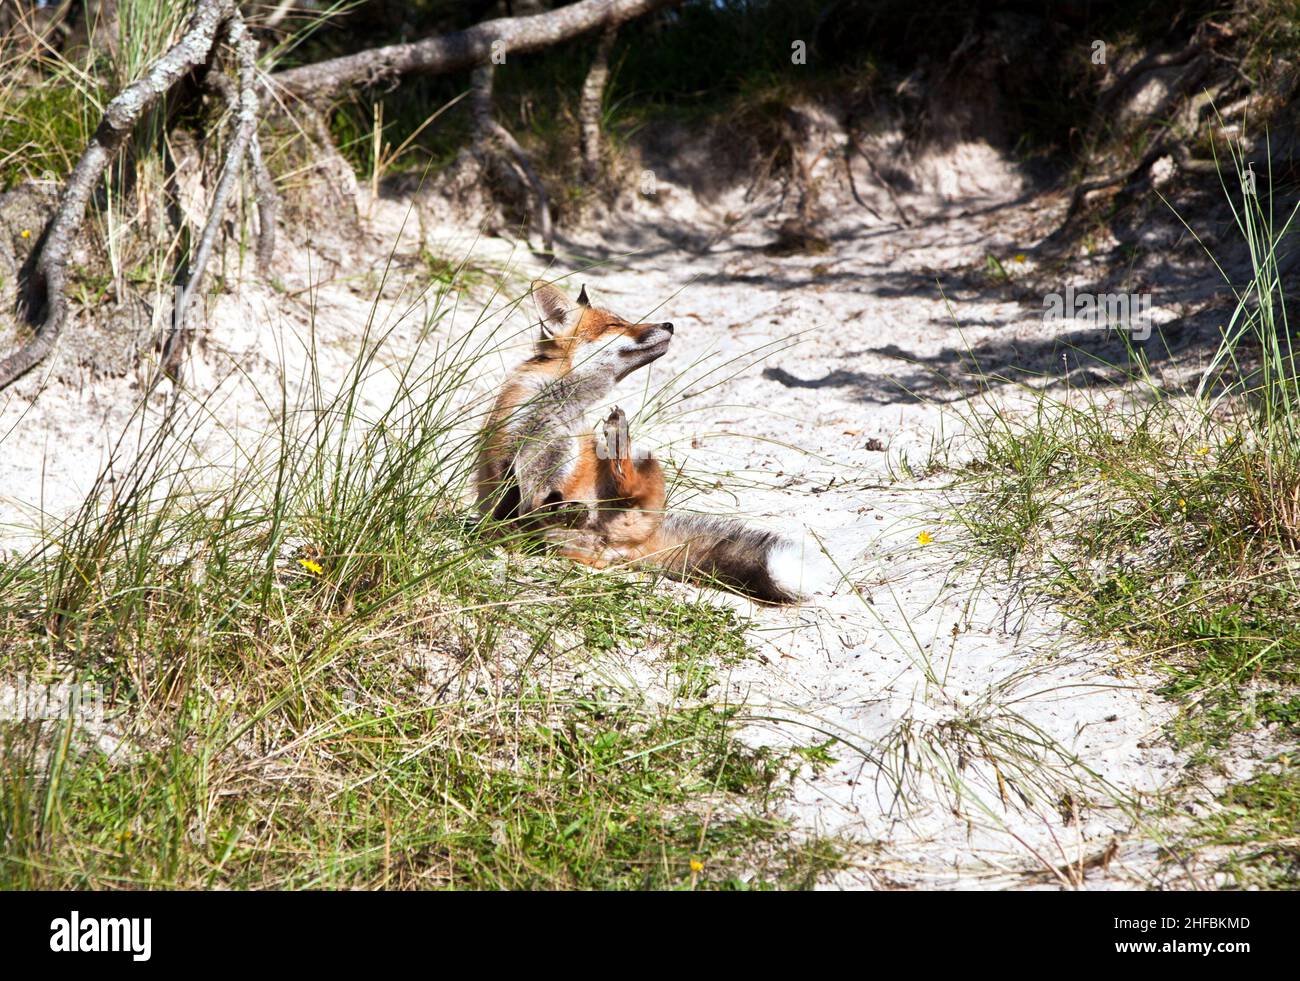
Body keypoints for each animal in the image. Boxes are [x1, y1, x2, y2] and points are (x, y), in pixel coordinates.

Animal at [474, 280, 832, 604]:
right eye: (616, 325)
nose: (669, 324)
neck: (555, 409)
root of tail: (637, 544)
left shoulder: (563, 465)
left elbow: (545, 501)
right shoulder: (503, 459)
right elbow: (507, 507)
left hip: (643, 464)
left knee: (626, 493)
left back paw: (617, 443)